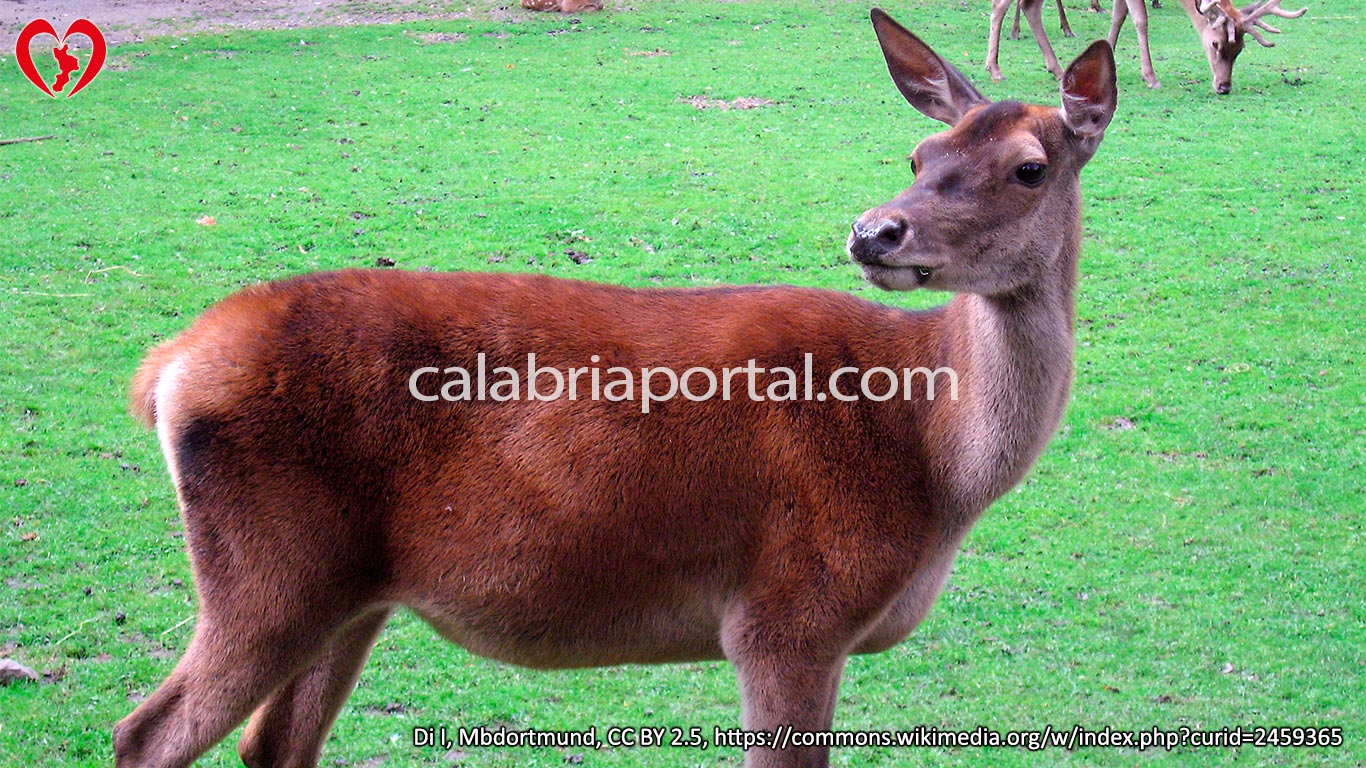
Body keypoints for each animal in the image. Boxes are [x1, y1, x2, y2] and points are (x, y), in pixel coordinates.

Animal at [112, 9, 1117, 768]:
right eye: (918, 152)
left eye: (1030, 168)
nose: (876, 232)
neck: (934, 464)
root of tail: (168, 367)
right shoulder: (787, 615)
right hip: (270, 571)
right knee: (143, 733)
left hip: (350, 590)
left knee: (271, 744)